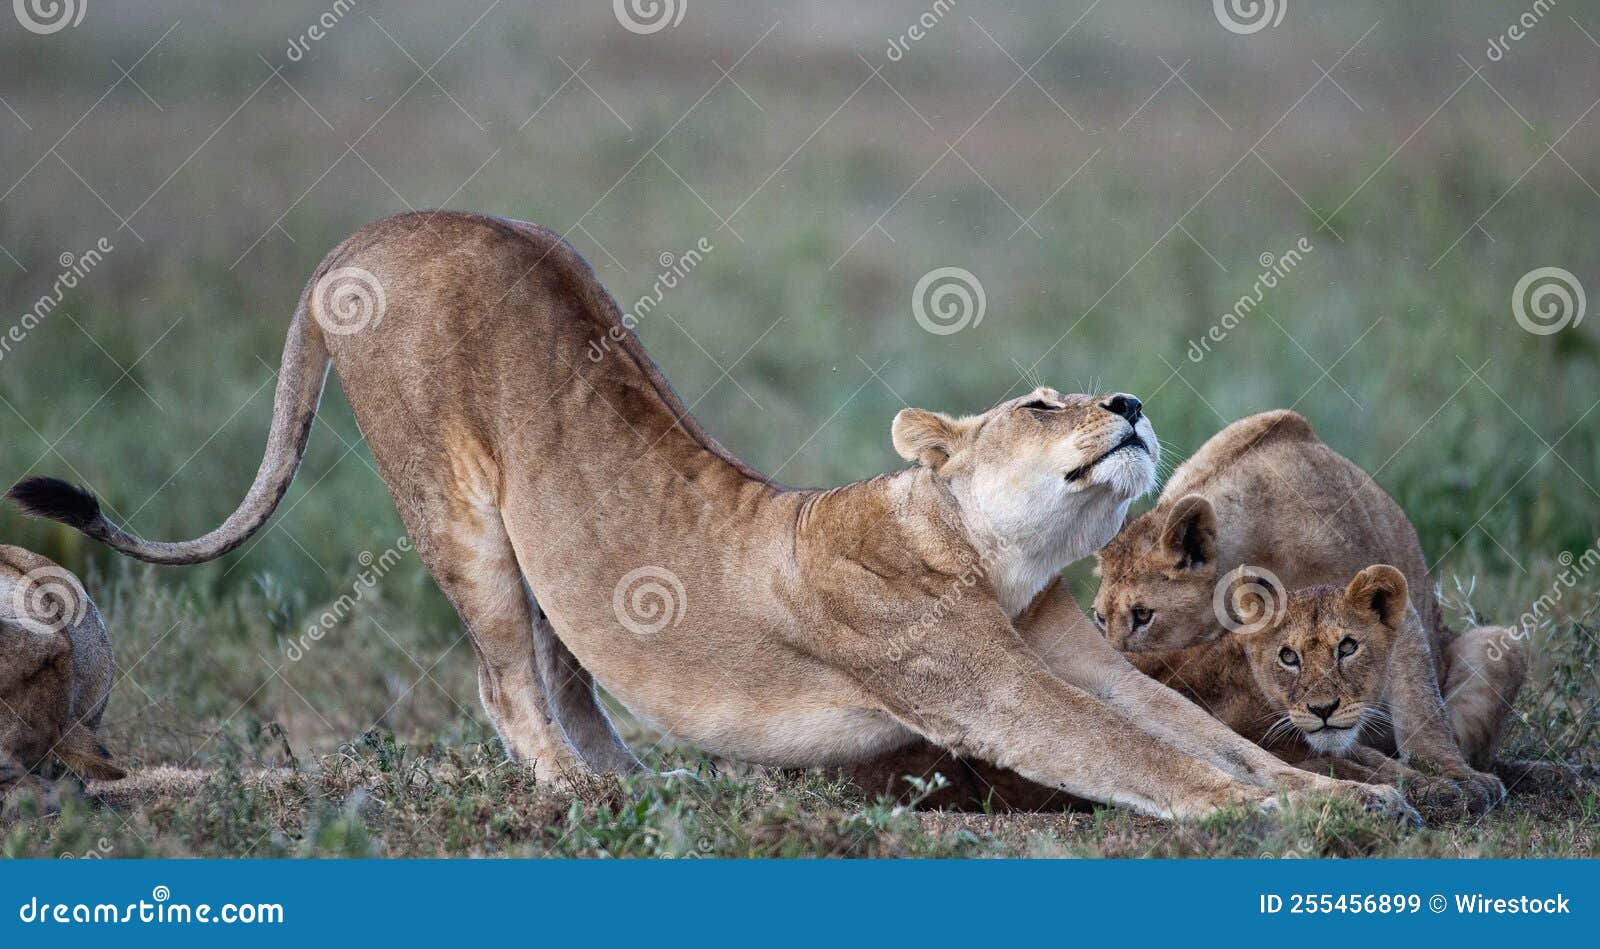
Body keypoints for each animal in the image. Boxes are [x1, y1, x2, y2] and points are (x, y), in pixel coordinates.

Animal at [1091, 410, 1510, 812]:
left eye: (1143, 615)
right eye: (1099, 618)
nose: (1114, 666)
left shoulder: (1383, 603)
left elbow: (1421, 706)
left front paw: (1457, 778)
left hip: (1501, 642)